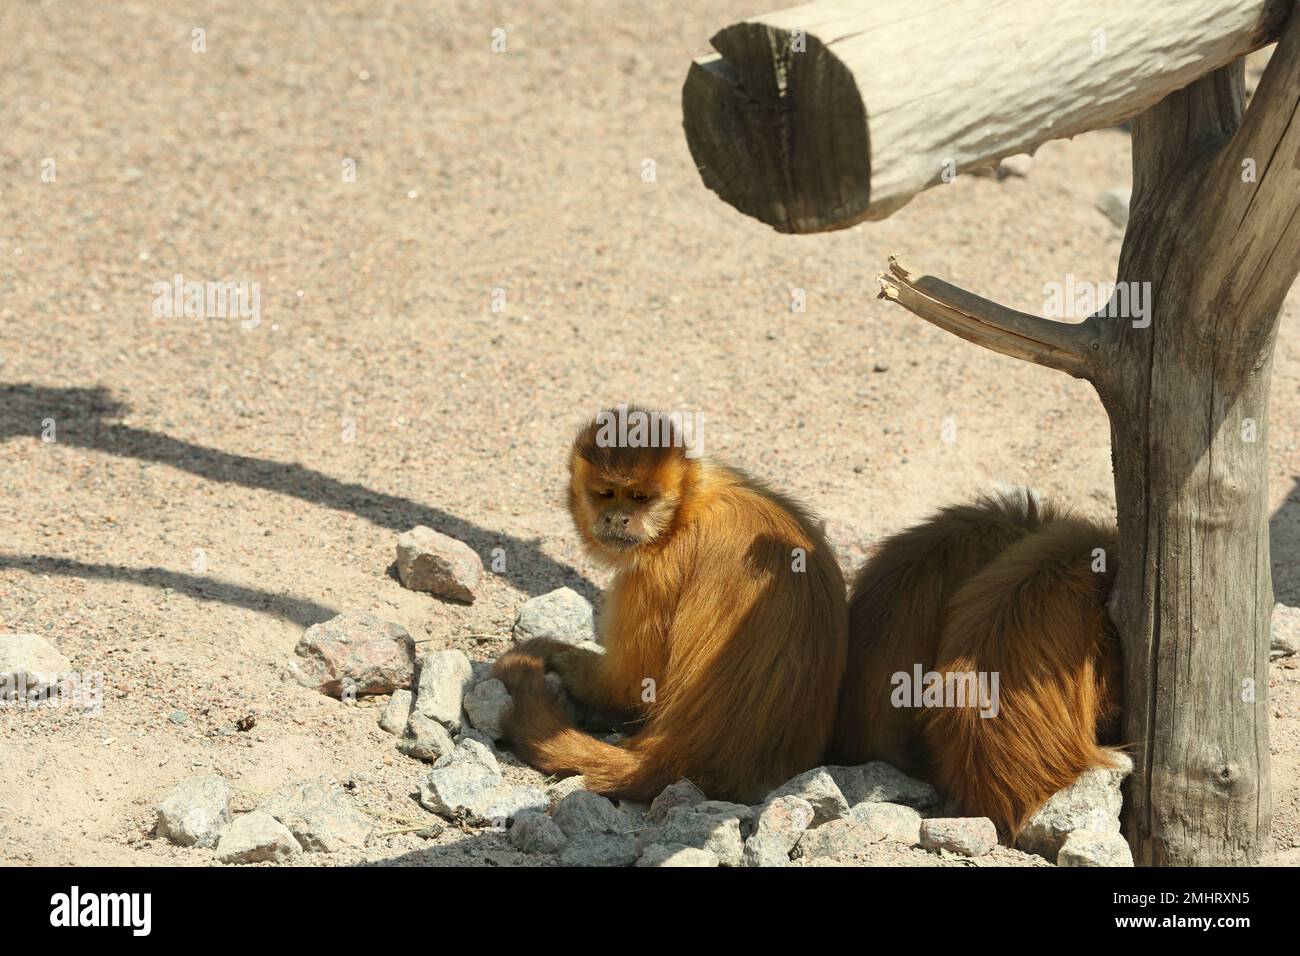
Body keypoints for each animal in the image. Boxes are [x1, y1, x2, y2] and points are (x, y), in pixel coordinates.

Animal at [491, 408, 848, 804]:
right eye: (606, 494)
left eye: (640, 497)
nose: (618, 518)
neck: (685, 513)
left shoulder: (657, 571)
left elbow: (631, 685)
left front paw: (564, 661)